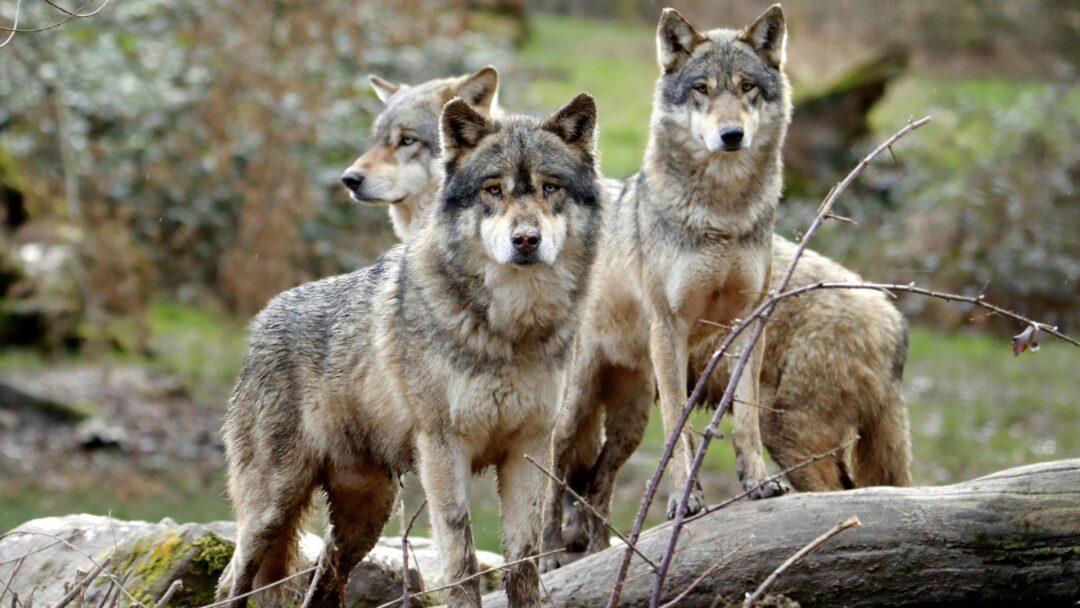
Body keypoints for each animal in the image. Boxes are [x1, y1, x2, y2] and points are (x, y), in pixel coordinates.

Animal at [215, 93, 604, 608]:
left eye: (550, 187)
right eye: (493, 190)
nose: (525, 240)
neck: (510, 329)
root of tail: (261, 320)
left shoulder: (530, 449)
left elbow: (524, 566)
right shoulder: (443, 451)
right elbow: (462, 563)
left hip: (365, 515)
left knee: (321, 584)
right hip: (271, 508)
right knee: (231, 581)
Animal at [539, 5, 793, 568]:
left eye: (746, 88)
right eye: (702, 89)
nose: (731, 135)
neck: (722, 214)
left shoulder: (752, 321)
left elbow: (746, 417)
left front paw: (759, 483)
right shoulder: (670, 328)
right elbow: (680, 428)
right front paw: (684, 500)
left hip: (630, 419)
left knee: (598, 485)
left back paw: (603, 551)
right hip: (572, 410)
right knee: (551, 472)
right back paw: (544, 558)